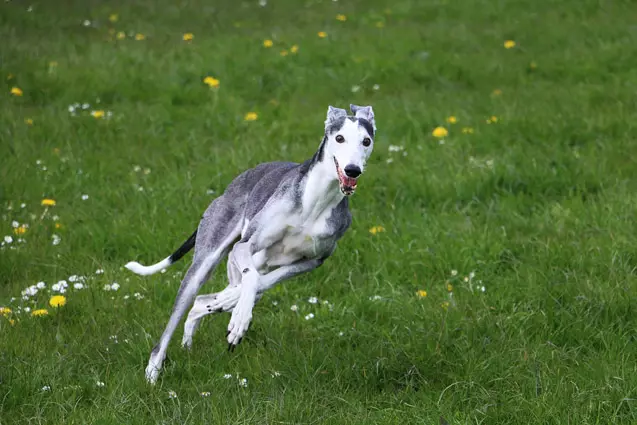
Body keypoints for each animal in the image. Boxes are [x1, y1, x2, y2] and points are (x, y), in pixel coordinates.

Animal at [124, 103, 376, 384]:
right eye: (339, 138)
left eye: (366, 141)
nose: (353, 170)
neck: (315, 202)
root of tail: (233, 184)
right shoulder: (245, 246)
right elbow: (251, 278)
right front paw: (239, 320)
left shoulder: (313, 260)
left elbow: (261, 282)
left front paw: (232, 307)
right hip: (208, 259)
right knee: (181, 314)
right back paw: (153, 372)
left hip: (260, 261)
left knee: (208, 299)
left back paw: (202, 326)